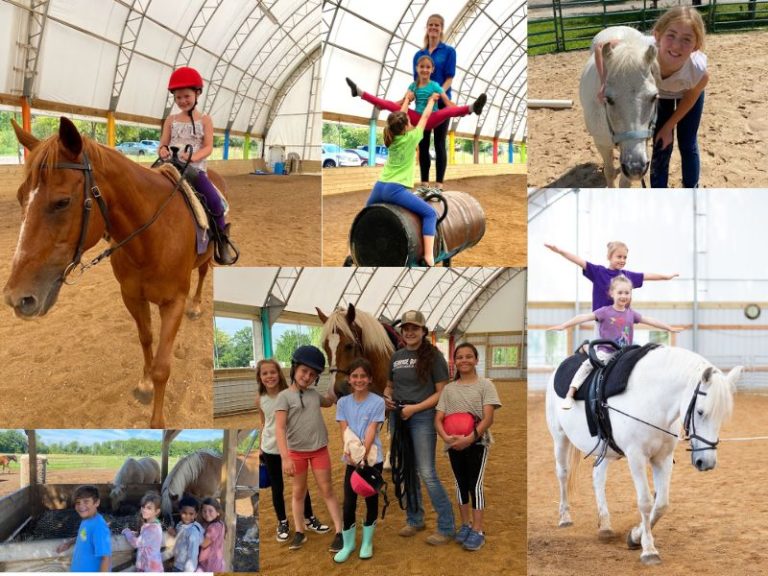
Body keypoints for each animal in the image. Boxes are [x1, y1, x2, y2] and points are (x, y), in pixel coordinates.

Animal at [4, 117, 222, 428]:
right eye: (21, 197)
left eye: (62, 202)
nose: (17, 298)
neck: (152, 237)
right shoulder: (131, 296)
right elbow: (146, 339)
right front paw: (144, 384)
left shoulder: (173, 303)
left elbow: (162, 367)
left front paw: (158, 422)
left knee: (203, 273)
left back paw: (196, 306)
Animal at [546, 345, 742, 565]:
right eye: (700, 412)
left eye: (723, 416)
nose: (706, 462)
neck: (652, 399)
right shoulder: (636, 457)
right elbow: (646, 502)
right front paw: (649, 550)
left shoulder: (663, 458)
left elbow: (662, 503)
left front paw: (635, 537)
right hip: (559, 437)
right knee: (563, 473)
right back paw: (565, 517)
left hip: (605, 450)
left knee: (598, 478)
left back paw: (605, 525)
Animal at [579, 26, 660, 187]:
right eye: (608, 99)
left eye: (654, 97)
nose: (636, 168)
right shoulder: (602, 145)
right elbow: (609, 172)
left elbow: (624, 183)